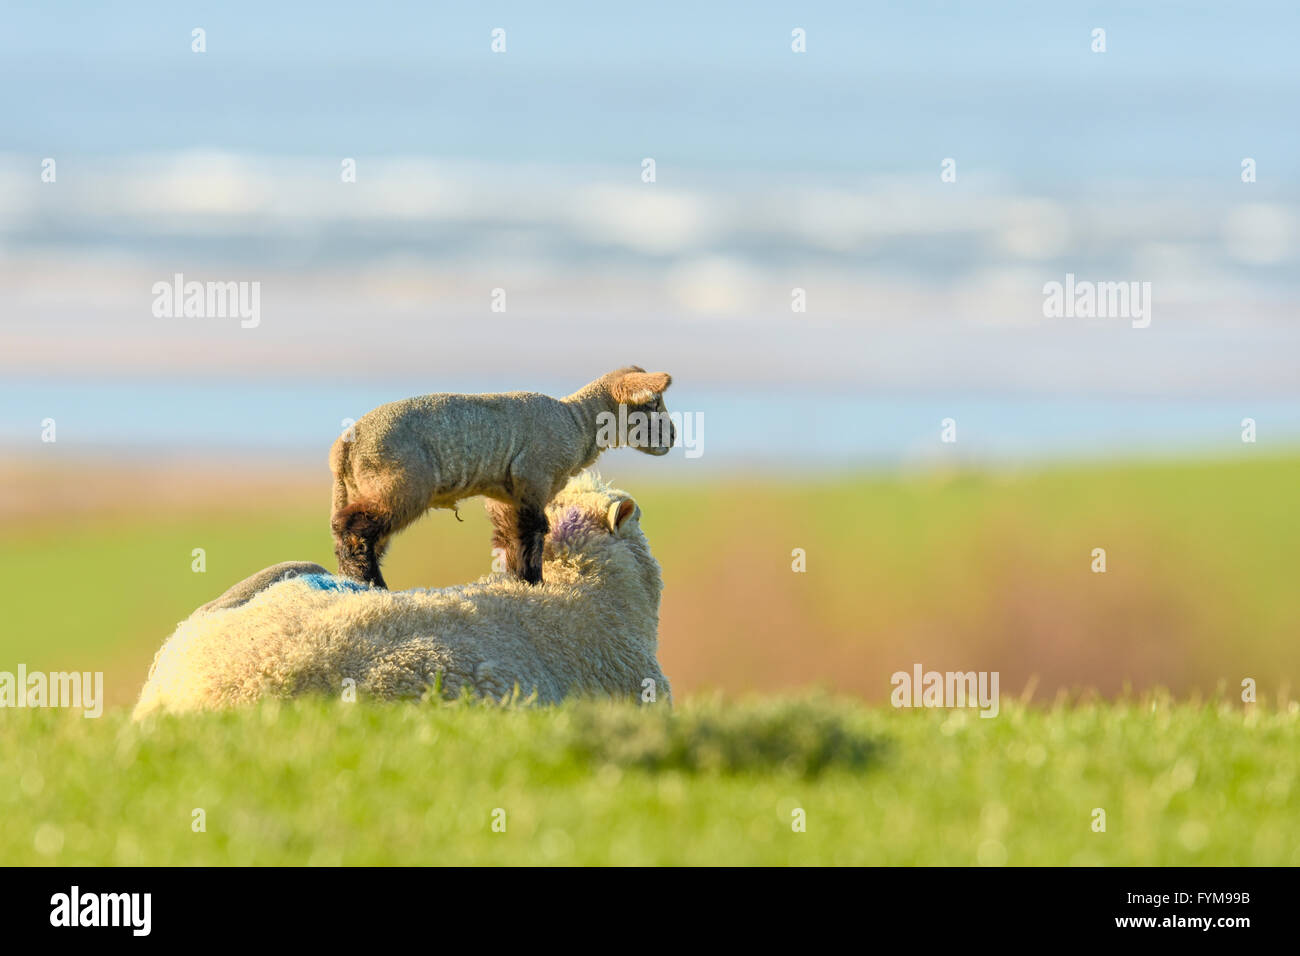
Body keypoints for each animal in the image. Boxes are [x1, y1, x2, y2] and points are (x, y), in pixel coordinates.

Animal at [329, 366, 674, 589]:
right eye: (652, 403)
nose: (672, 436)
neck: (577, 424)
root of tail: (344, 447)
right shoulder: (534, 475)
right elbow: (533, 531)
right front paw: (534, 583)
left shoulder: (508, 494)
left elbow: (511, 536)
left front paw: (518, 580)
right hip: (401, 484)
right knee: (354, 529)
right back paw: (372, 583)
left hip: (362, 488)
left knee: (349, 531)